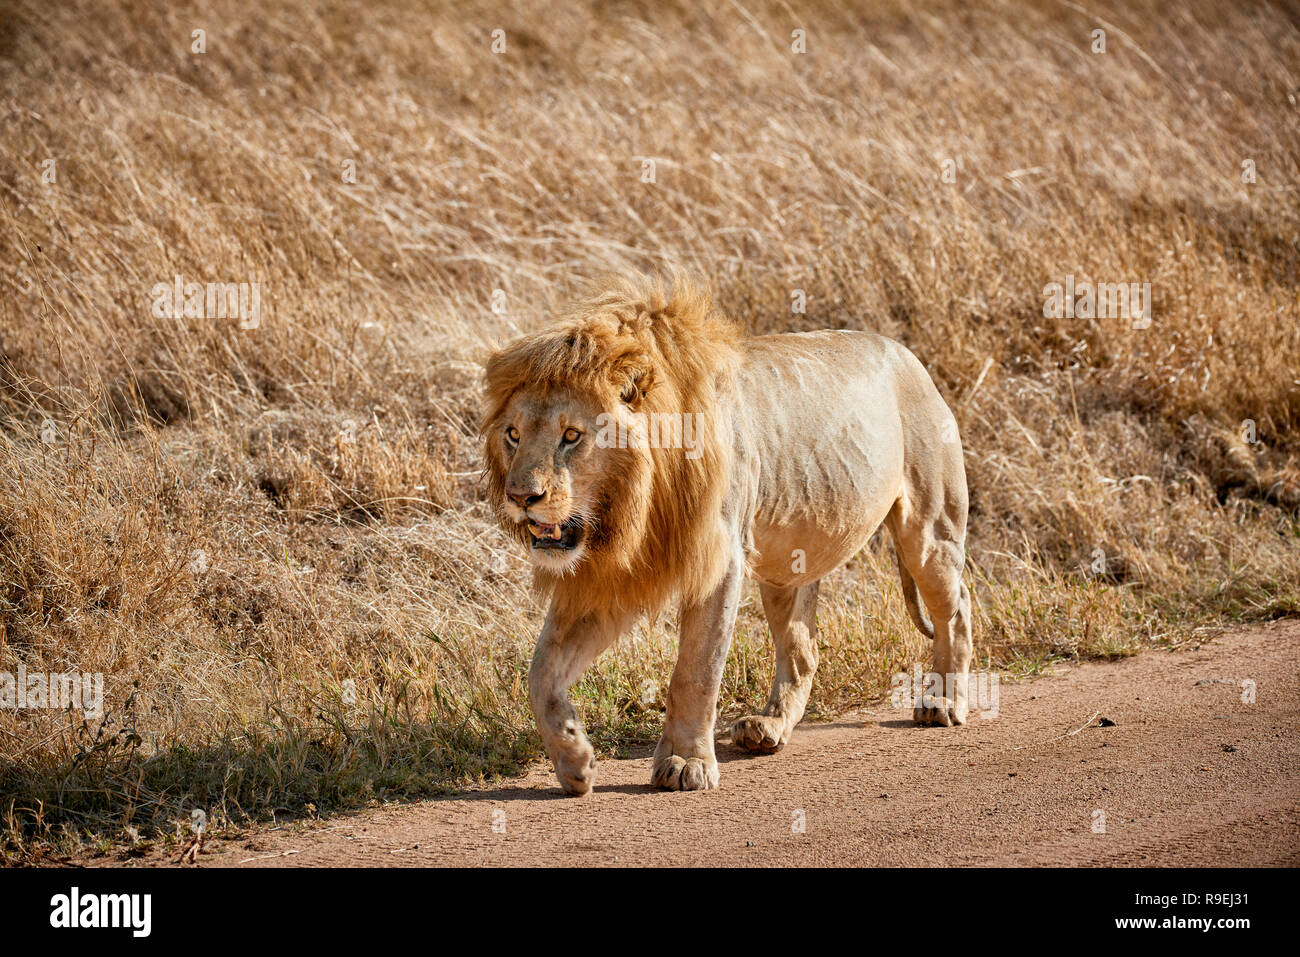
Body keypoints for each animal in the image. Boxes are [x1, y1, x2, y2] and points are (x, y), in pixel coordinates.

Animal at [482, 275, 971, 795]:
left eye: (571, 436)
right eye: (513, 435)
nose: (520, 496)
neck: (630, 506)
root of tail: (905, 353)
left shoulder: (718, 560)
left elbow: (695, 671)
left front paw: (684, 762)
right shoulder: (608, 576)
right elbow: (541, 672)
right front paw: (574, 760)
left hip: (928, 530)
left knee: (957, 607)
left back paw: (944, 702)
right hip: (787, 563)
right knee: (802, 649)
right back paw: (768, 727)